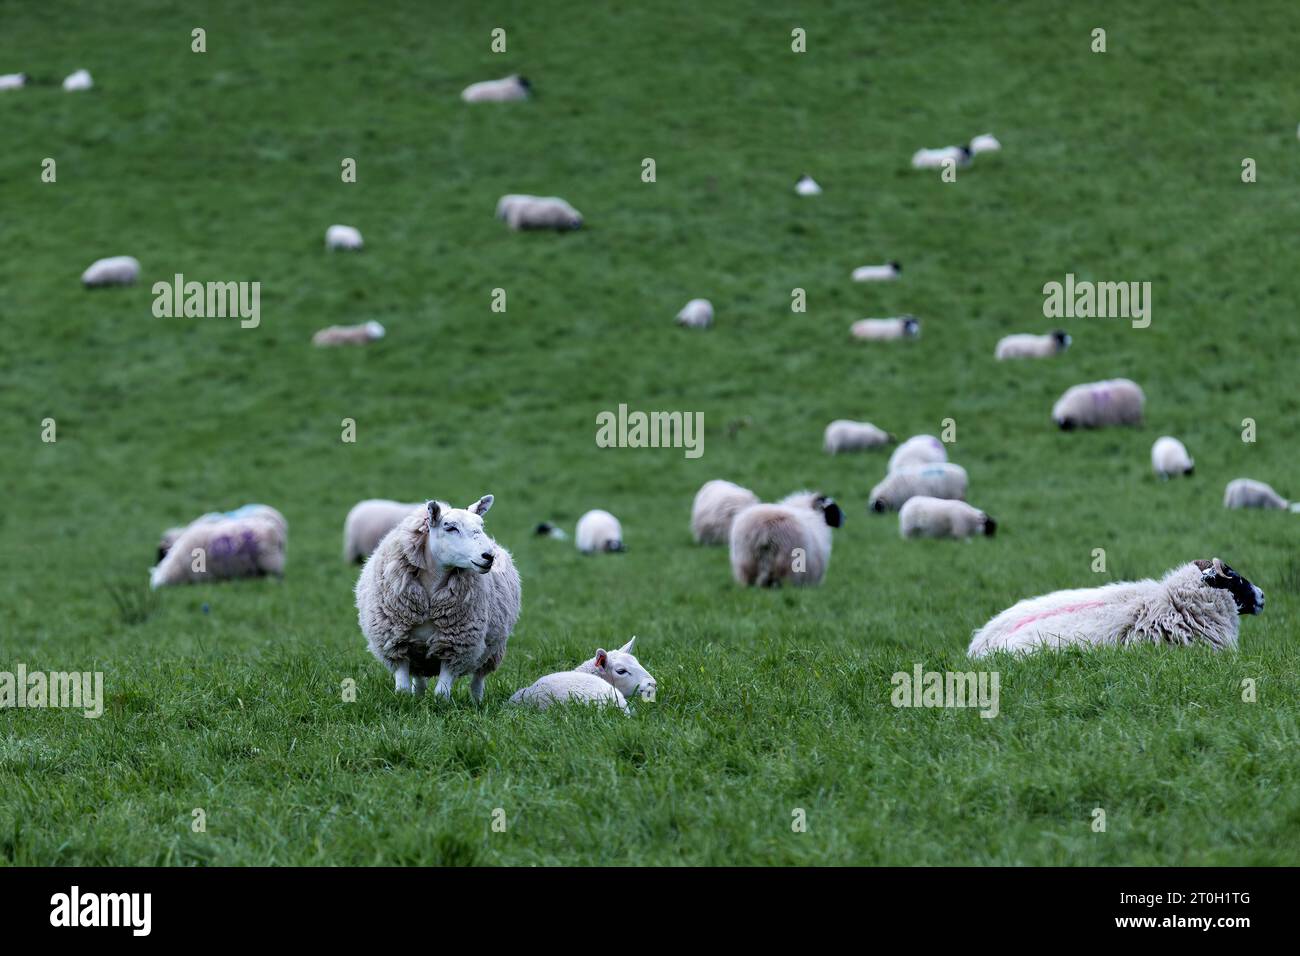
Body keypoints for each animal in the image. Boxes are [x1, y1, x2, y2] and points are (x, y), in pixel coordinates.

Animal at [356, 496, 521, 701]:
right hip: (418, 654)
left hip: (492, 651)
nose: (489, 556)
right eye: (450, 528)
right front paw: (405, 702)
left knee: (478, 679)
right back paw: (418, 698)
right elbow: (402, 689)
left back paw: (477, 701)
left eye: (481, 525)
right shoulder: (396, 644)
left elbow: (441, 693)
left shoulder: (455, 646)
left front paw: (439, 705)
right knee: (419, 679)